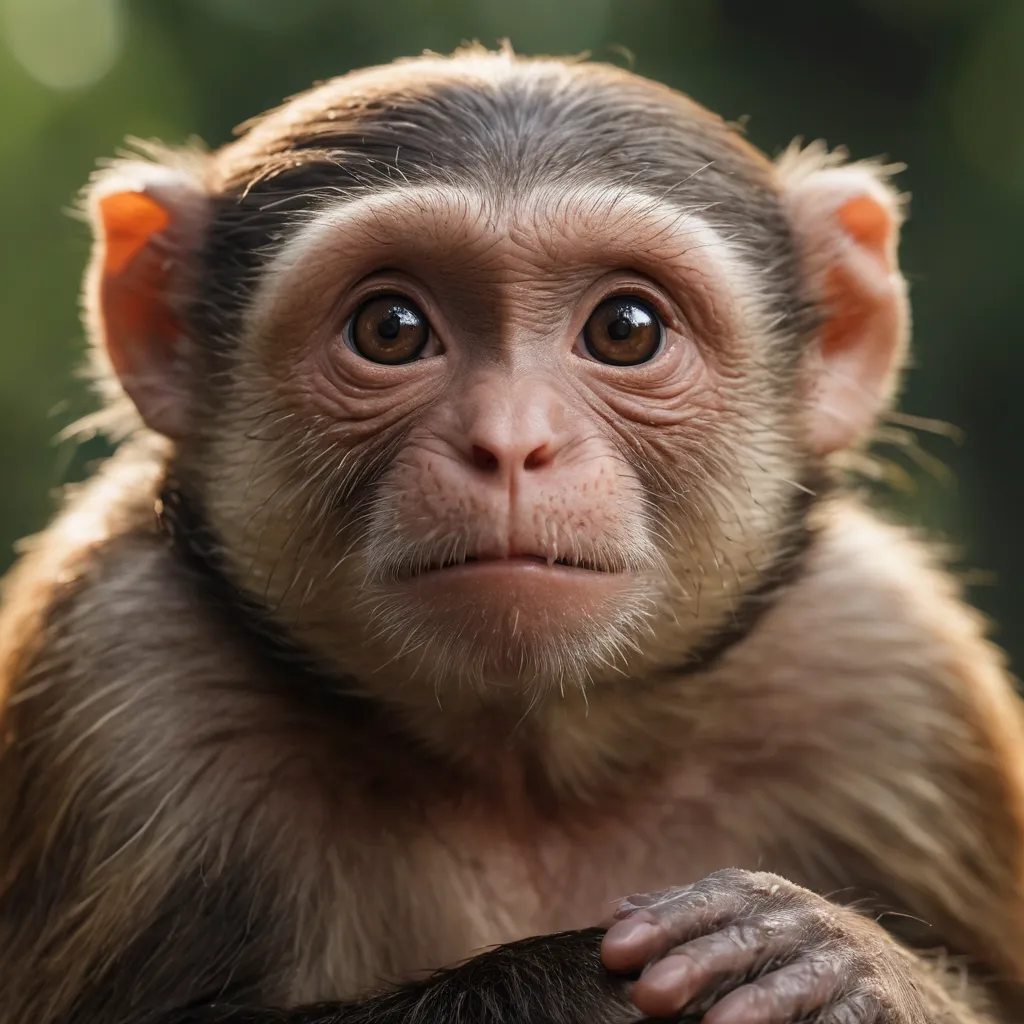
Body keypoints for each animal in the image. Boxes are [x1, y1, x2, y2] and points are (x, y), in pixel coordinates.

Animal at [1, 42, 1024, 1024]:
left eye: (625, 328)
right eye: (390, 328)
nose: (509, 441)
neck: (528, 775)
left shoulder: (887, 666)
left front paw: (848, 967)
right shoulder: (121, 674)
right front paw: (584, 980)